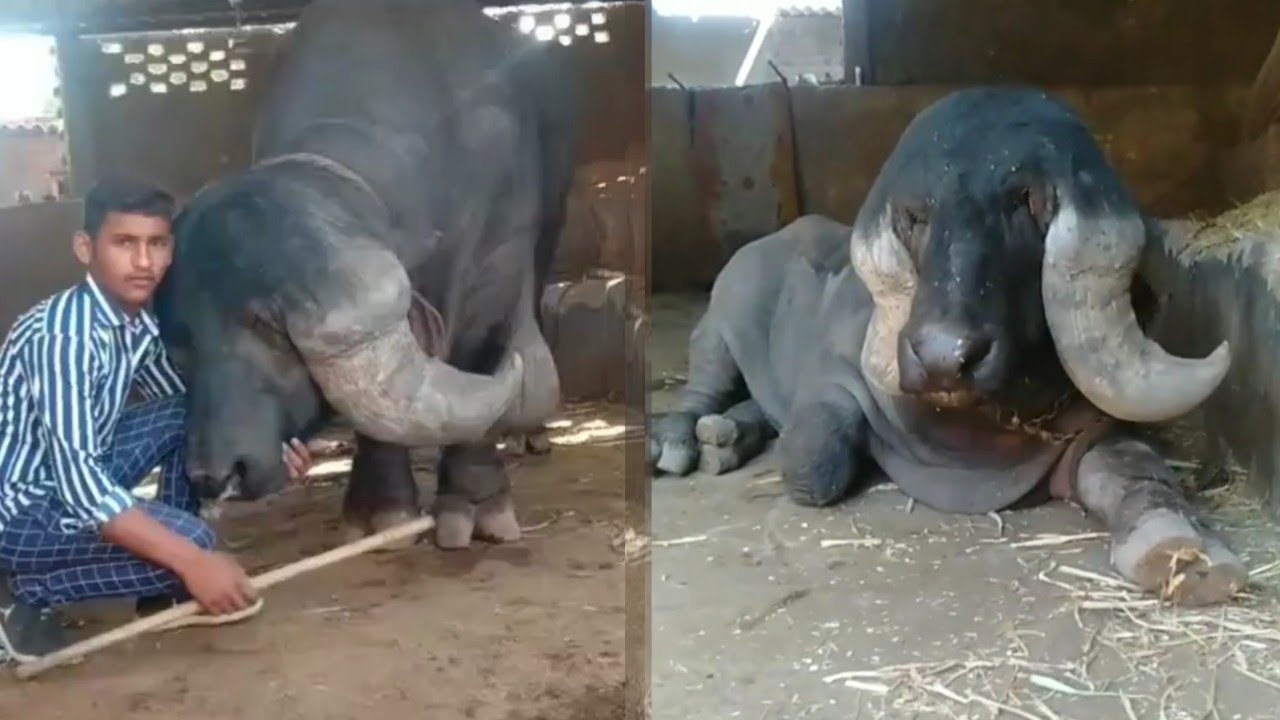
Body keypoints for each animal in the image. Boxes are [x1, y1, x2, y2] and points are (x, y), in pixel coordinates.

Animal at [153, 0, 576, 550]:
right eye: (182, 341)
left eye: (266, 326)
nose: (213, 475)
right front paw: (384, 510)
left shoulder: (497, 261)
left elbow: (479, 355)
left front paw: (475, 504)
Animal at [650, 87, 1248, 606]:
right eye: (915, 214)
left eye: (1025, 200)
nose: (944, 358)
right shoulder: (833, 383)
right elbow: (811, 461)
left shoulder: (1092, 429)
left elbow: (1136, 469)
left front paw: (1180, 549)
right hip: (717, 329)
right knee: (704, 389)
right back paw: (683, 439)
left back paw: (727, 434)